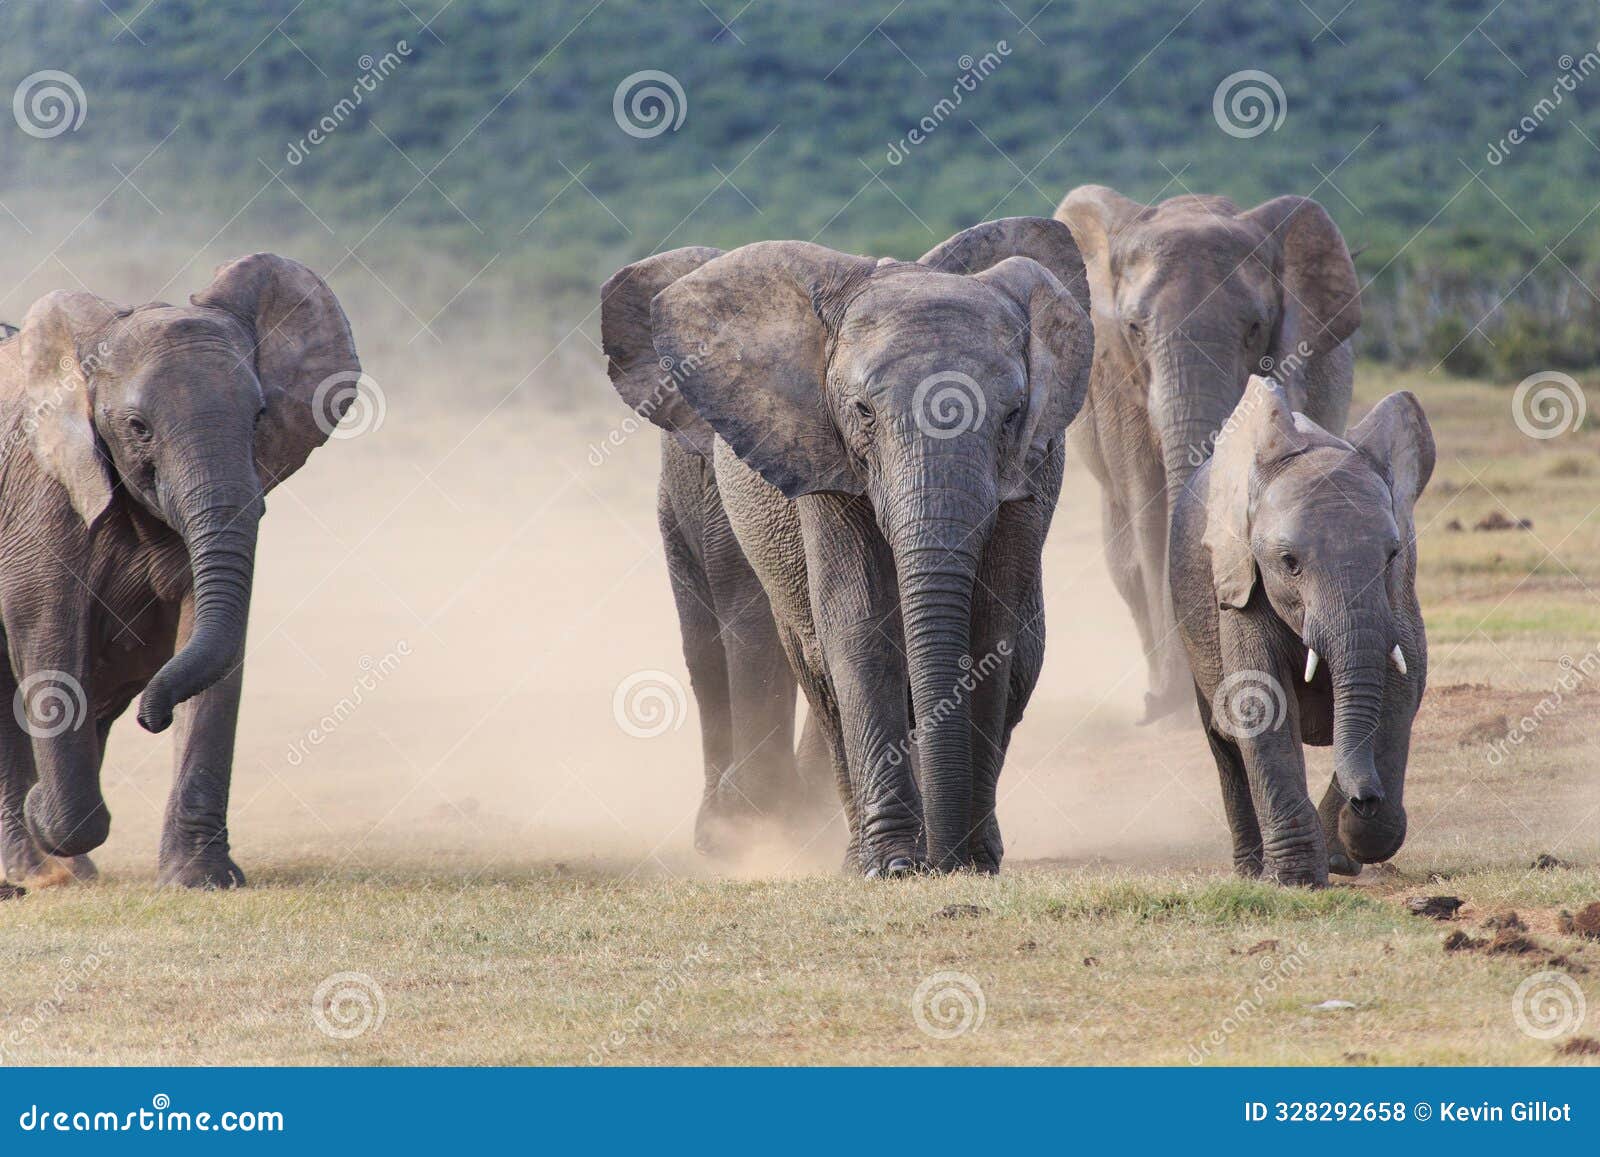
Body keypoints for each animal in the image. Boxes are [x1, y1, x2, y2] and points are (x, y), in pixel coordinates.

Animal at [0, 253, 361, 889]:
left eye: (259, 417)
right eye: (138, 427)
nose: (155, 717)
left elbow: (210, 639)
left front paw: (201, 880)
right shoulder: (41, 494)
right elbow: (45, 630)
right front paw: (46, 817)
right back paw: (34, 869)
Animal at [638, 217, 1093, 875]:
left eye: (1011, 415)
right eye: (862, 412)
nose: (944, 864)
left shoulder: (1030, 474)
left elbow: (989, 633)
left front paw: (970, 862)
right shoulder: (821, 456)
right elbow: (860, 623)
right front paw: (892, 868)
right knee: (810, 668)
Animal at [1055, 187, 1361, 724]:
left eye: (1255, 328)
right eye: (1134, 329)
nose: (1164, 701)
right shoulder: (1117, 384)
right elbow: (1148, 507)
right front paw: (1173, 703)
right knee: (1125, 562)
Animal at [1169, 376, 1433, 885]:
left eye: (1392, 555)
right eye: (1289, 562)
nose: (1366, 799)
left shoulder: (1400, 596)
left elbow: (1401, 690)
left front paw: (1349, 848)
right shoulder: (1240, 585)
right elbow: (1259, 701)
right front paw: (1295, 881)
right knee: (1224, 743)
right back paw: (1251, 871)